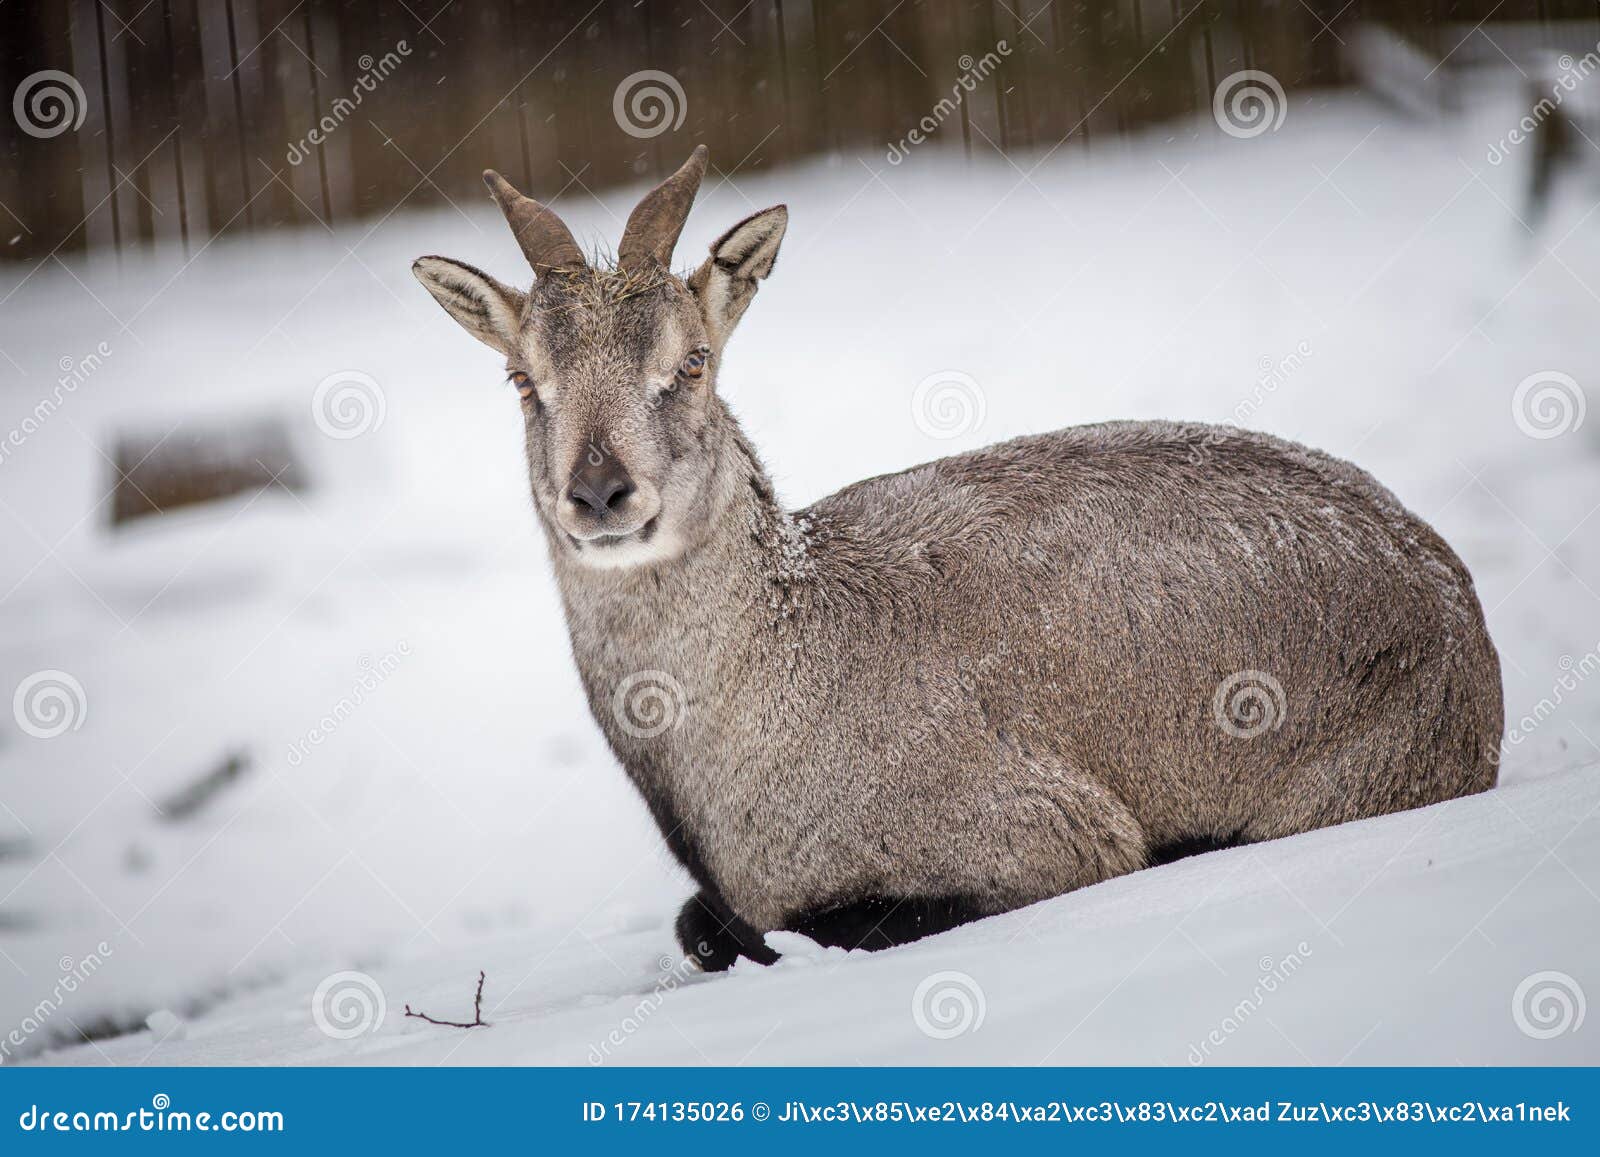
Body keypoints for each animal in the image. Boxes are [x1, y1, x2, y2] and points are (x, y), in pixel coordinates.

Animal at [413, 147, 1503, 971]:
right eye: (525, 379)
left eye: (690, 361)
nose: (601, 494)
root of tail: (1462, 612)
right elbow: (702, 926)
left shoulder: (1046, 830)